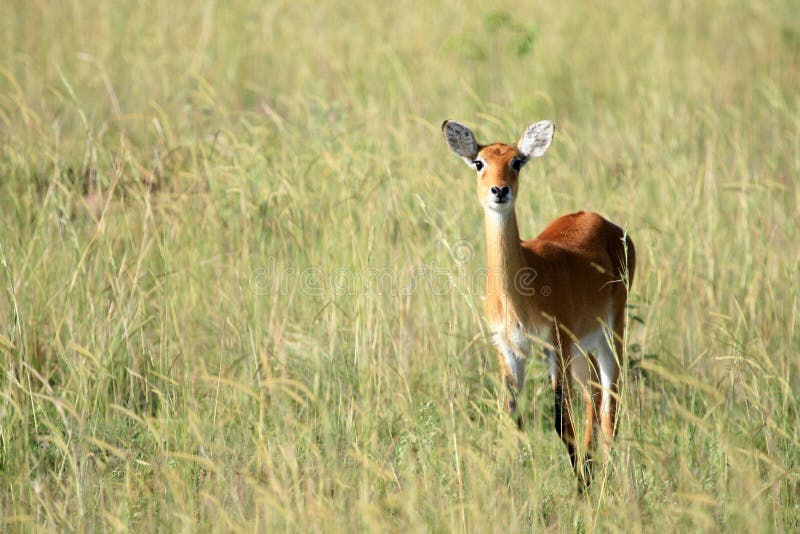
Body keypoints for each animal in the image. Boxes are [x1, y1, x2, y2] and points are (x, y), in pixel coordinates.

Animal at [442, 119, 635, 488]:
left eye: (517, 161)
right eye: (479, 162)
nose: (499, 191)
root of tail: (606, 223)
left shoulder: (554, 344)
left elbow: (560, 419)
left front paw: (579, 488)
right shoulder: (509, 349)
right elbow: (512, 417)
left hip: (610, 333)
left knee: (610, 399)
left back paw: (606, 477)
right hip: (583, 346)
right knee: (593, 393)